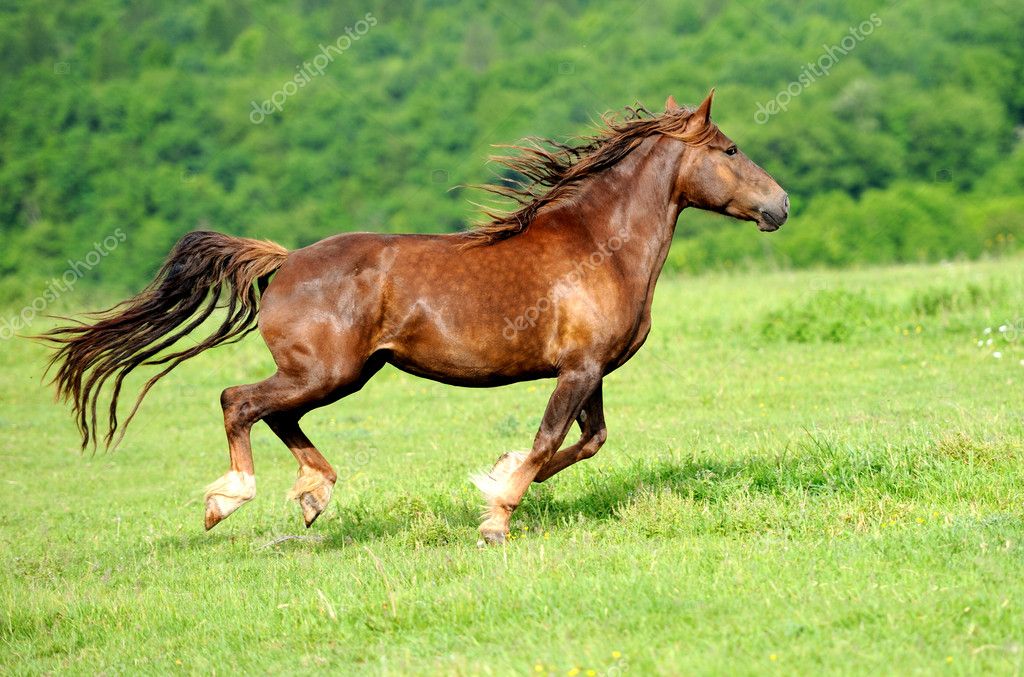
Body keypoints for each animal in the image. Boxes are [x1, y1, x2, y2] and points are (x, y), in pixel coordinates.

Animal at [40, 90, 788, 544]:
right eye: (728, 150)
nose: (779, 206)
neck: (597, 245)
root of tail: (284, 262)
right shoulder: (576, 369)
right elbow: (550, 440)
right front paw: (496, 515)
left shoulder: (591, 371)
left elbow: (585, 442)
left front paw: (495, 479)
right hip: (326, 371)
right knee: (239, 400)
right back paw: (230, 498)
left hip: (339, 375)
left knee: (274, 413)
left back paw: (313, 494)